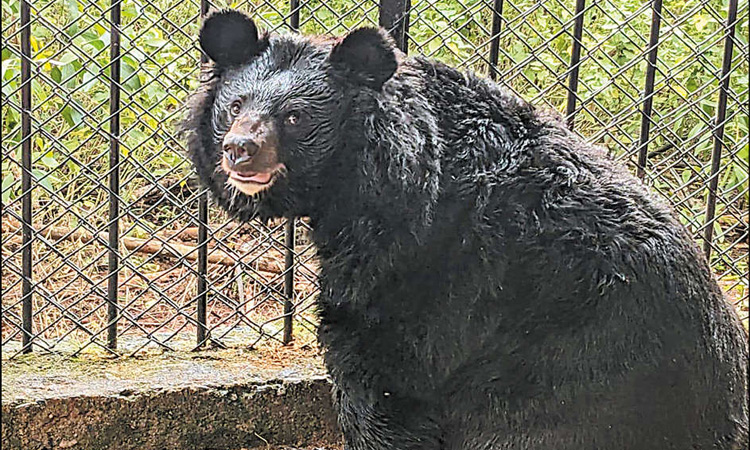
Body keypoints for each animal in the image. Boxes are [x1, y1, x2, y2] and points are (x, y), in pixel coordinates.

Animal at [182, 10, 749, 450]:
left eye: (296, 118)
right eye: (234, 107)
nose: (239, 150)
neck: (361, 180)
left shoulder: (422, 267)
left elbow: (382, 375)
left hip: (569, 381)